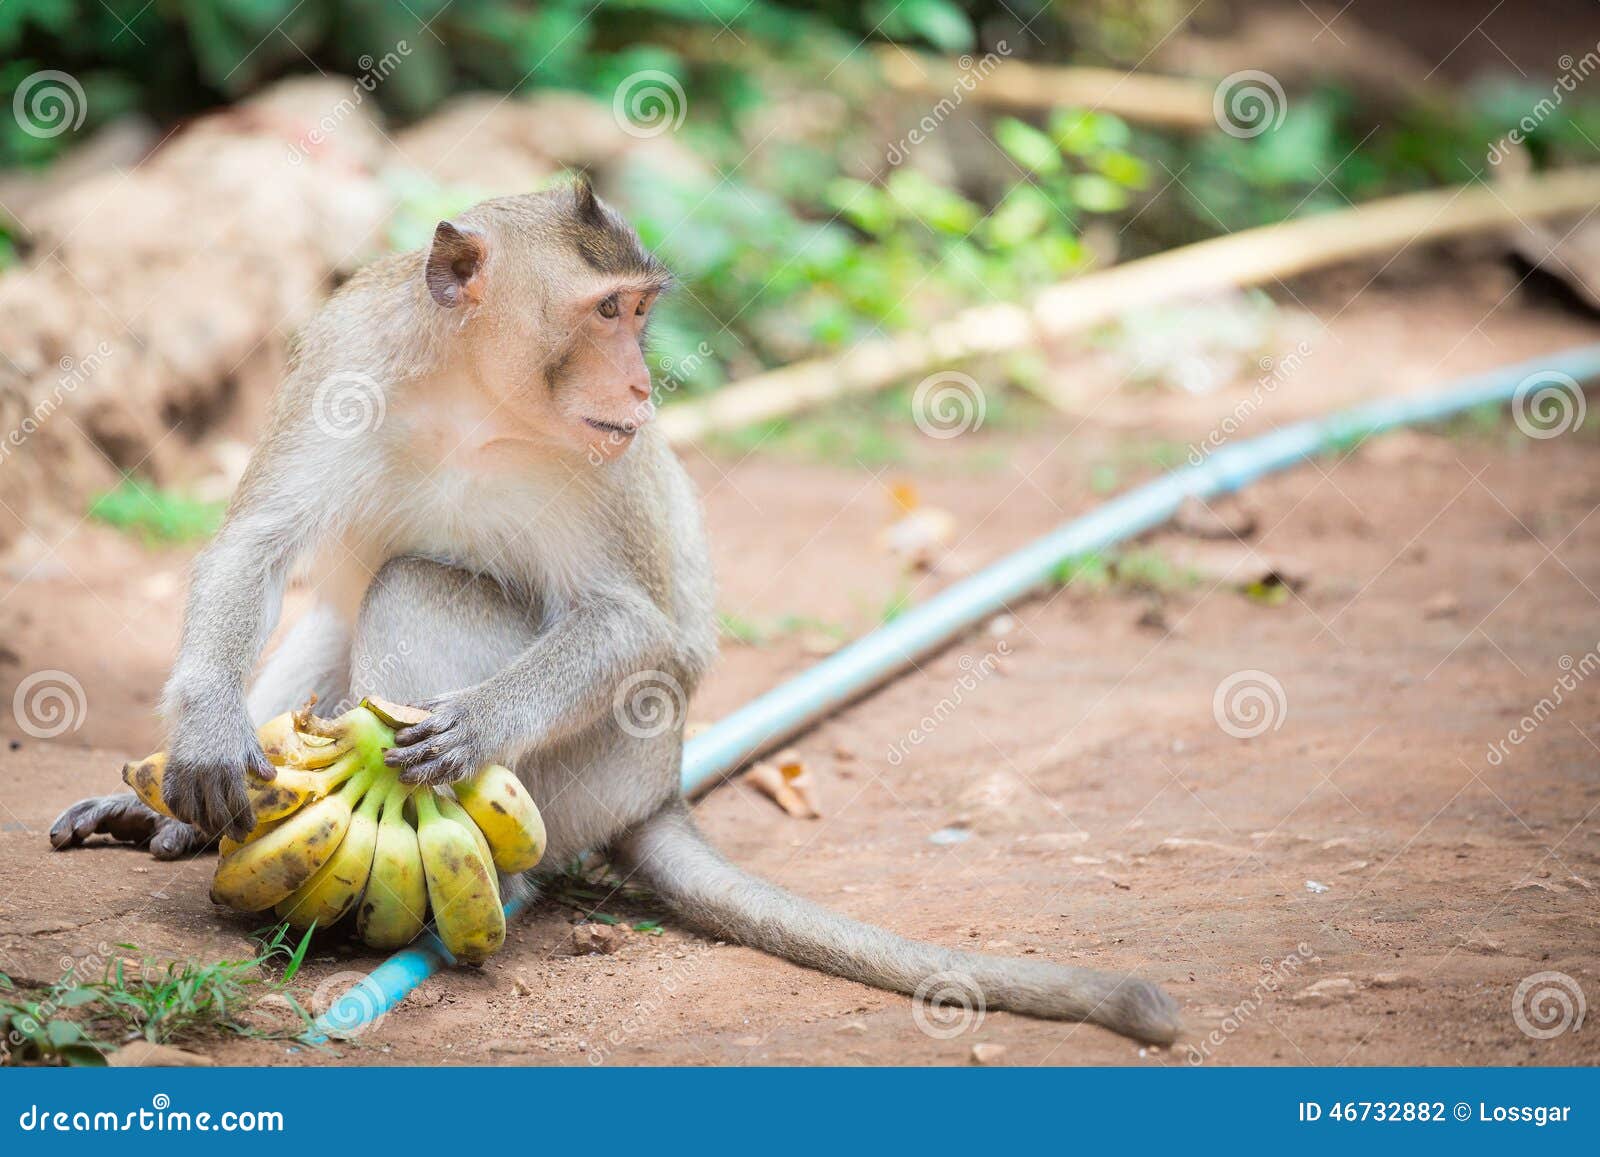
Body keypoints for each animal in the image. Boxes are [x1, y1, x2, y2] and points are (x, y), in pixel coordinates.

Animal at [50, 183, 1181, 1045]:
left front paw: (478, 725)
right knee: (337, 614)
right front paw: (204, 740)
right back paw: (182, 816)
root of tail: (661, 785)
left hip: (591, 772)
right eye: (606, 312)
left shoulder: (608, 460)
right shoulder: (345, 357)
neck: (475, 396)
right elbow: (258, 540)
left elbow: (638, 628)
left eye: (638, 312)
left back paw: (461, 892)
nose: (640, 382)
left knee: (415, 581)